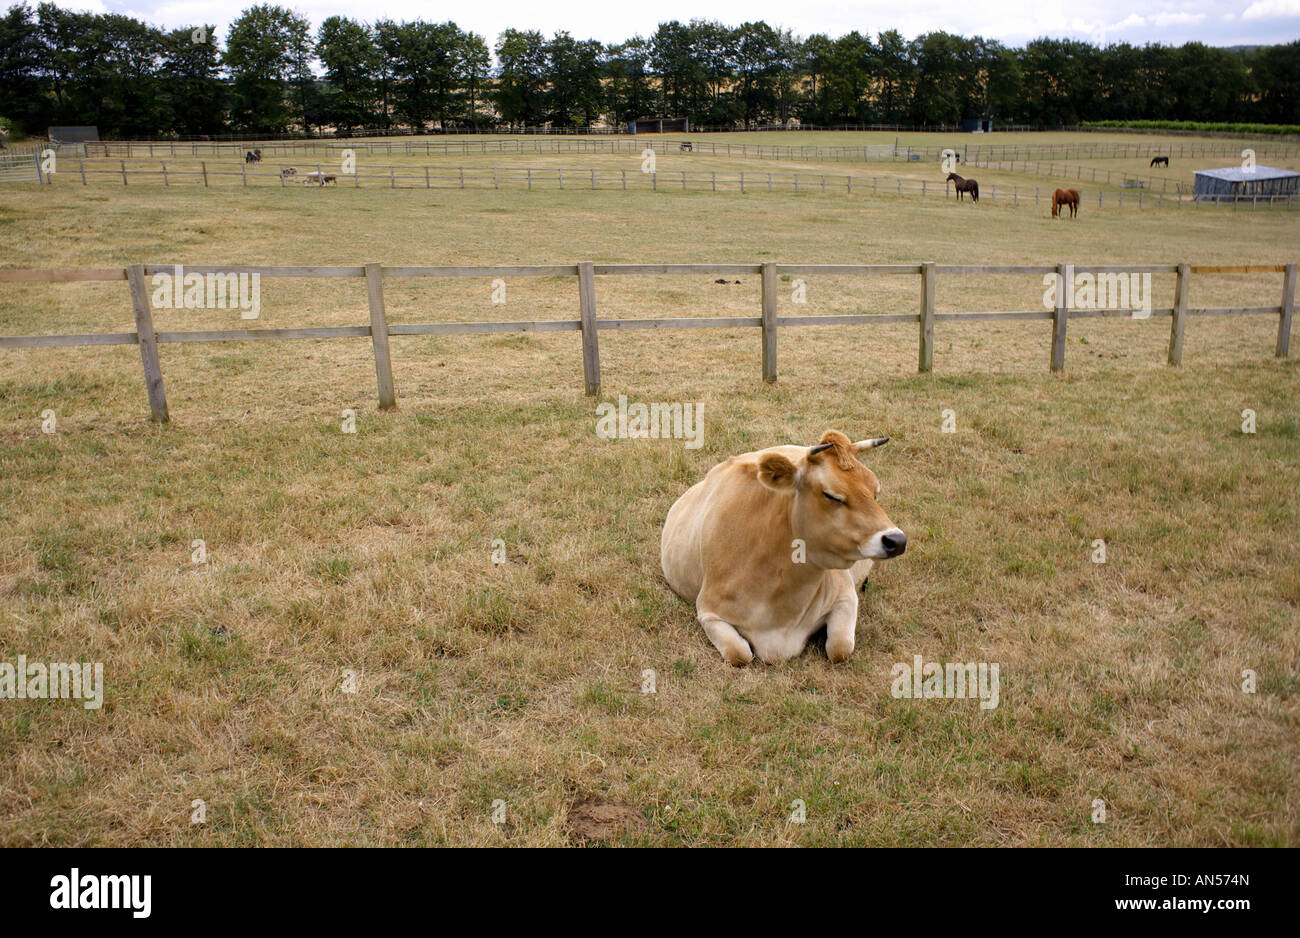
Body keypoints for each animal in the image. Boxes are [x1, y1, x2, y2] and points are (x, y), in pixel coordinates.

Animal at [661, 430, 906, 665]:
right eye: (831, 495)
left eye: (875, 492)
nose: (897, 540)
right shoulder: (708, 611)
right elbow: (739, 654)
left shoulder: (845, 595)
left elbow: (840, 648)